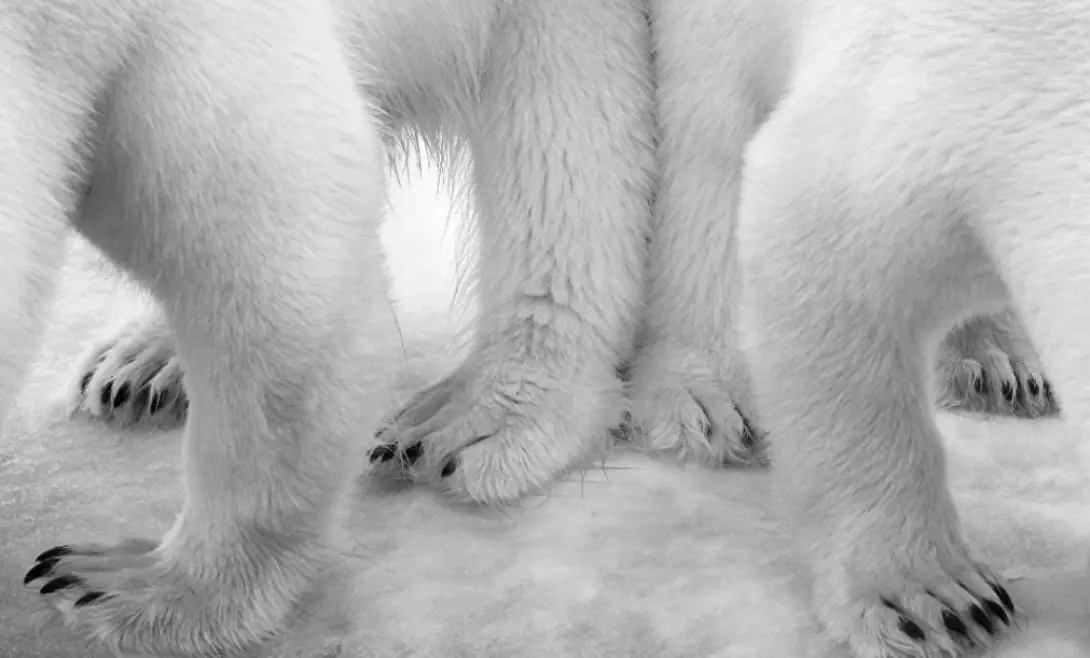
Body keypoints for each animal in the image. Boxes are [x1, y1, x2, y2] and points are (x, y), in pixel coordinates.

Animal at [8, 1, 649, 658]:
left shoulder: (165, 41)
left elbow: (282, 253)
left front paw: (136, 585)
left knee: (560, 119)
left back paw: (474, 417)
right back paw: (141, 365)